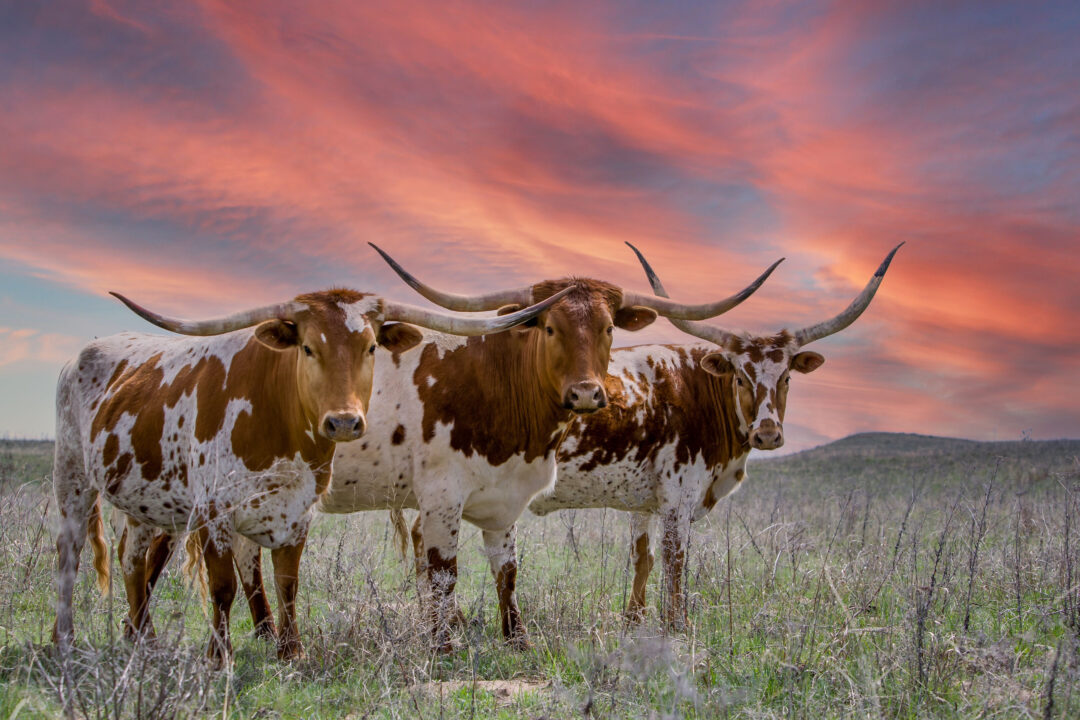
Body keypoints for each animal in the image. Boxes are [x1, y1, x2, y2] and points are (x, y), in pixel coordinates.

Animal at [52, 284, 568, 664]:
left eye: (371, 346)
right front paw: (219, 657)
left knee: (132, 560)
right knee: (70, 556)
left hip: (145, 503)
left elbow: (287, 582)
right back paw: (65, 639)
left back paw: (144, 640)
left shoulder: (298, 512)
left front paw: (290, 651)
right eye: (307, 347)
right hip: (73, 480)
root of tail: (84, 353)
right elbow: (222, 588)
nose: (343, 422)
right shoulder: (214, 512)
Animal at [225, 245, 783, 652]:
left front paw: (517, 638)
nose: (587, 394)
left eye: (607, 328)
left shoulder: (510, 496)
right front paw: (442, 645)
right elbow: (443, 571)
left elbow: (509, 570)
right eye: (550, 326)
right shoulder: (442, 498)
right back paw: (269, 634)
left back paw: (265, 632)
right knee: (248, 558)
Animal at [529, 242, 902, 627]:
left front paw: (634, 621)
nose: (767, 434)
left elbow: (643, 559)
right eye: (739, 378)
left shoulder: (643, 503)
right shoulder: (678, 500)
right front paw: (676, 625)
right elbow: (674, 565)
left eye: (786, 378)